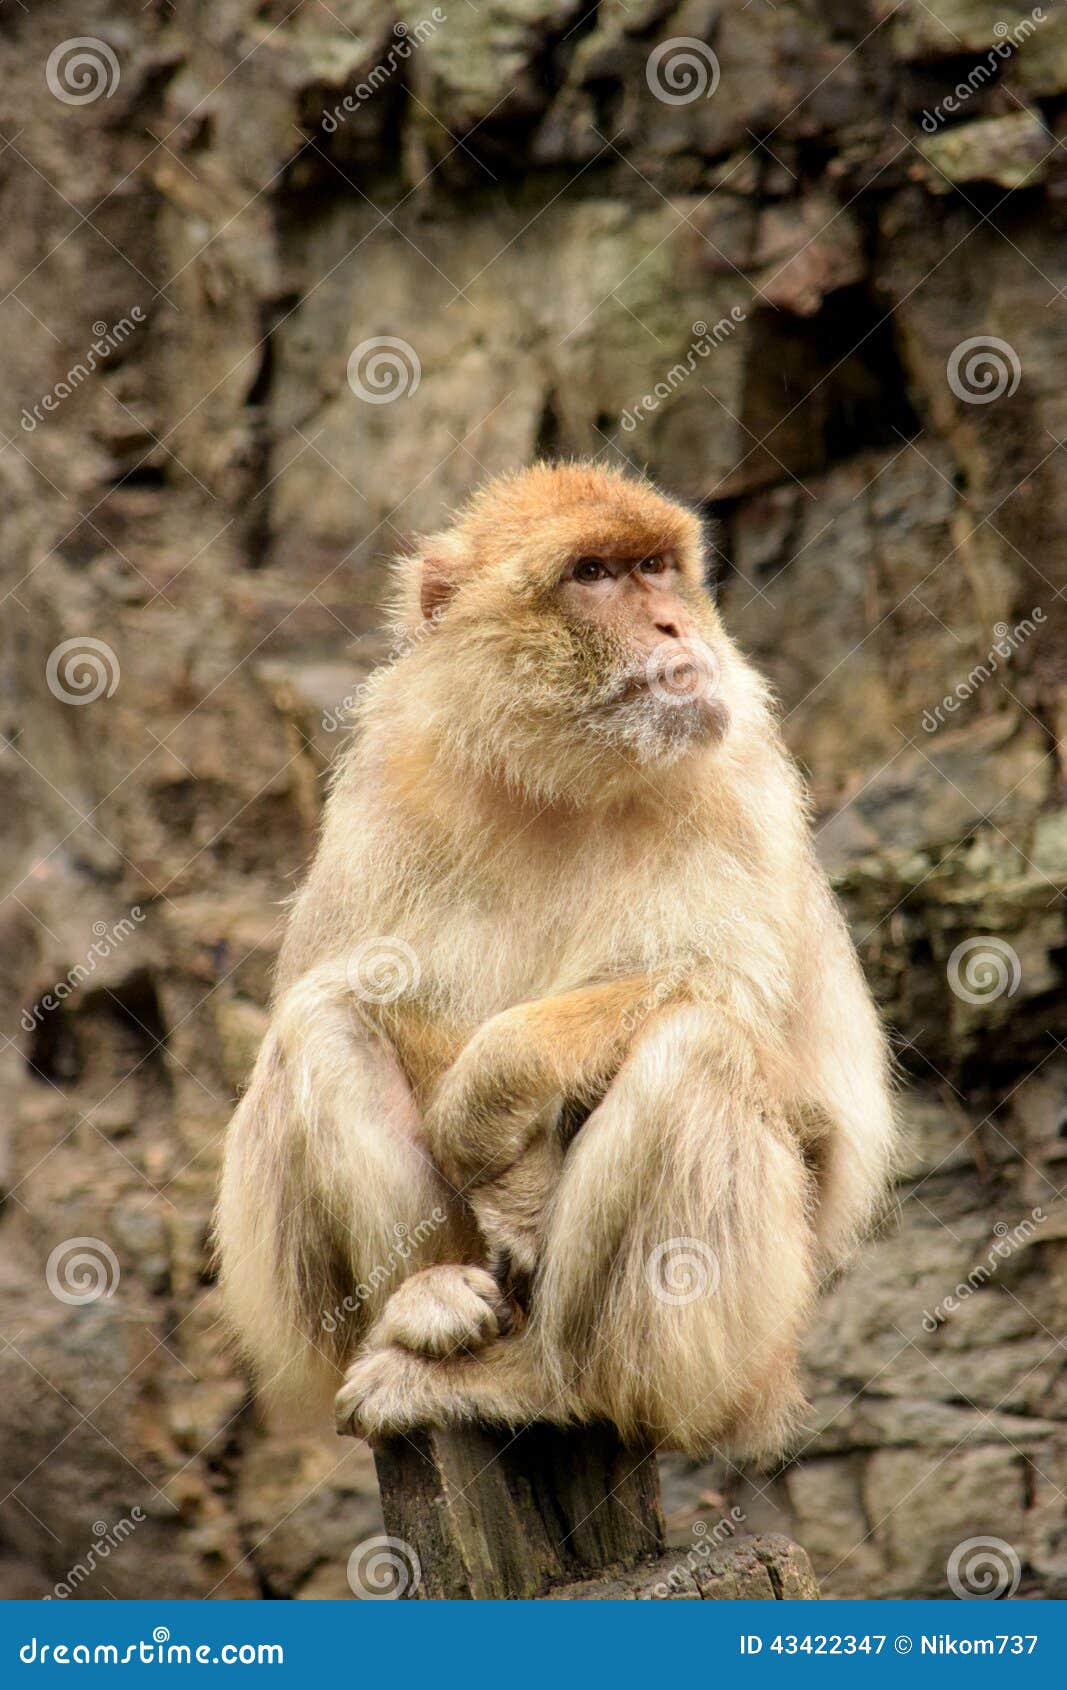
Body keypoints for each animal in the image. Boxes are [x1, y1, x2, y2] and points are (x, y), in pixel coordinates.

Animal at [216, 460, 895, 1462]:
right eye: (594, 574)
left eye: (655, 567)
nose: (673, 625)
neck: (558, 779)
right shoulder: (394, 768)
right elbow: (344, 983)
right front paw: (507, 1180)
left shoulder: (732, 773)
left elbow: (717, 988)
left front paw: (488, 1116)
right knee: (323, 1020)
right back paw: (426, 1300)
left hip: (748, 1343)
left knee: (696, 1050)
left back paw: (553, 1381)